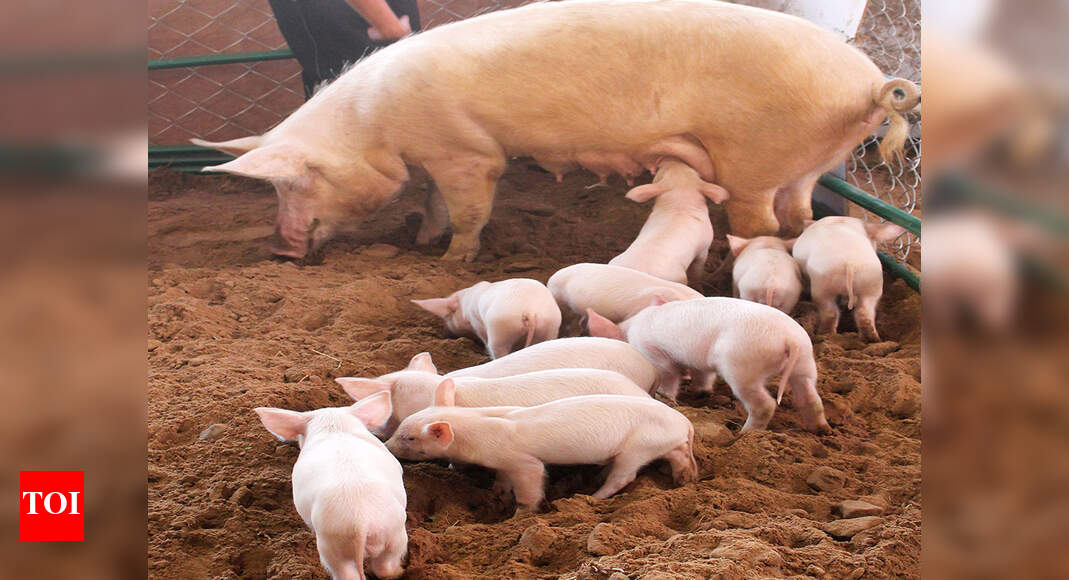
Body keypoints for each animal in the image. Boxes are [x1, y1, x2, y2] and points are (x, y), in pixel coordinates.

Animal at [195, 0, 918, 261]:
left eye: (294, 183)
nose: (280, 251)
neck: (375, 127)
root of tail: (866, 82)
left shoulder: (468, 153)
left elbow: (469, 209)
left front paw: (452, 260)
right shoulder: (433, 155)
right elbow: (431, 201)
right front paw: (422, 241)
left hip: (756, 160)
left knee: (763, 223)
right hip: (804, 162)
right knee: (799, 216)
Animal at [253, 392, 407, 580]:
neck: (334, 427)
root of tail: (360, 522)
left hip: (355, 542)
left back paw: (401, 571)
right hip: (386, 534)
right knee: (379, 569)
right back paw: (402, 570)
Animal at [385, 384, 697, 514]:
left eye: (409, 438)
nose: (385, 445)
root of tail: (685, 423)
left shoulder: (522, 461)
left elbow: (530, 483)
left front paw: (522, 515)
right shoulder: (503, 463)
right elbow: (502, 481)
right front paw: (498, 495)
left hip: (637, 449)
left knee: (624, 476)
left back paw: (591, 496)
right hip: (663, 444)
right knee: (679, 456)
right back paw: (686, 480)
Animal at [412, 279, 561, 359]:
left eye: (447, 317)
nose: (446, 334)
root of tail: (530, 311)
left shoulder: (475, 322)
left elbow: (482, 336)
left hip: (501, 328)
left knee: (497, 349)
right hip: (549, 327)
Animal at [586, 297, 829, 433]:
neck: (631, 330)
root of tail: (788, 339)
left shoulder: (653, 351)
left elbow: (668, 374)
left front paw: (666, 397)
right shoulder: (698, 361)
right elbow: (703, 375)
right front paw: (701, 393)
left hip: (741, 364)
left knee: (764, 404)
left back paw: (744, 434)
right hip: (805, 363)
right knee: (811, 398)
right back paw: (821, 430)